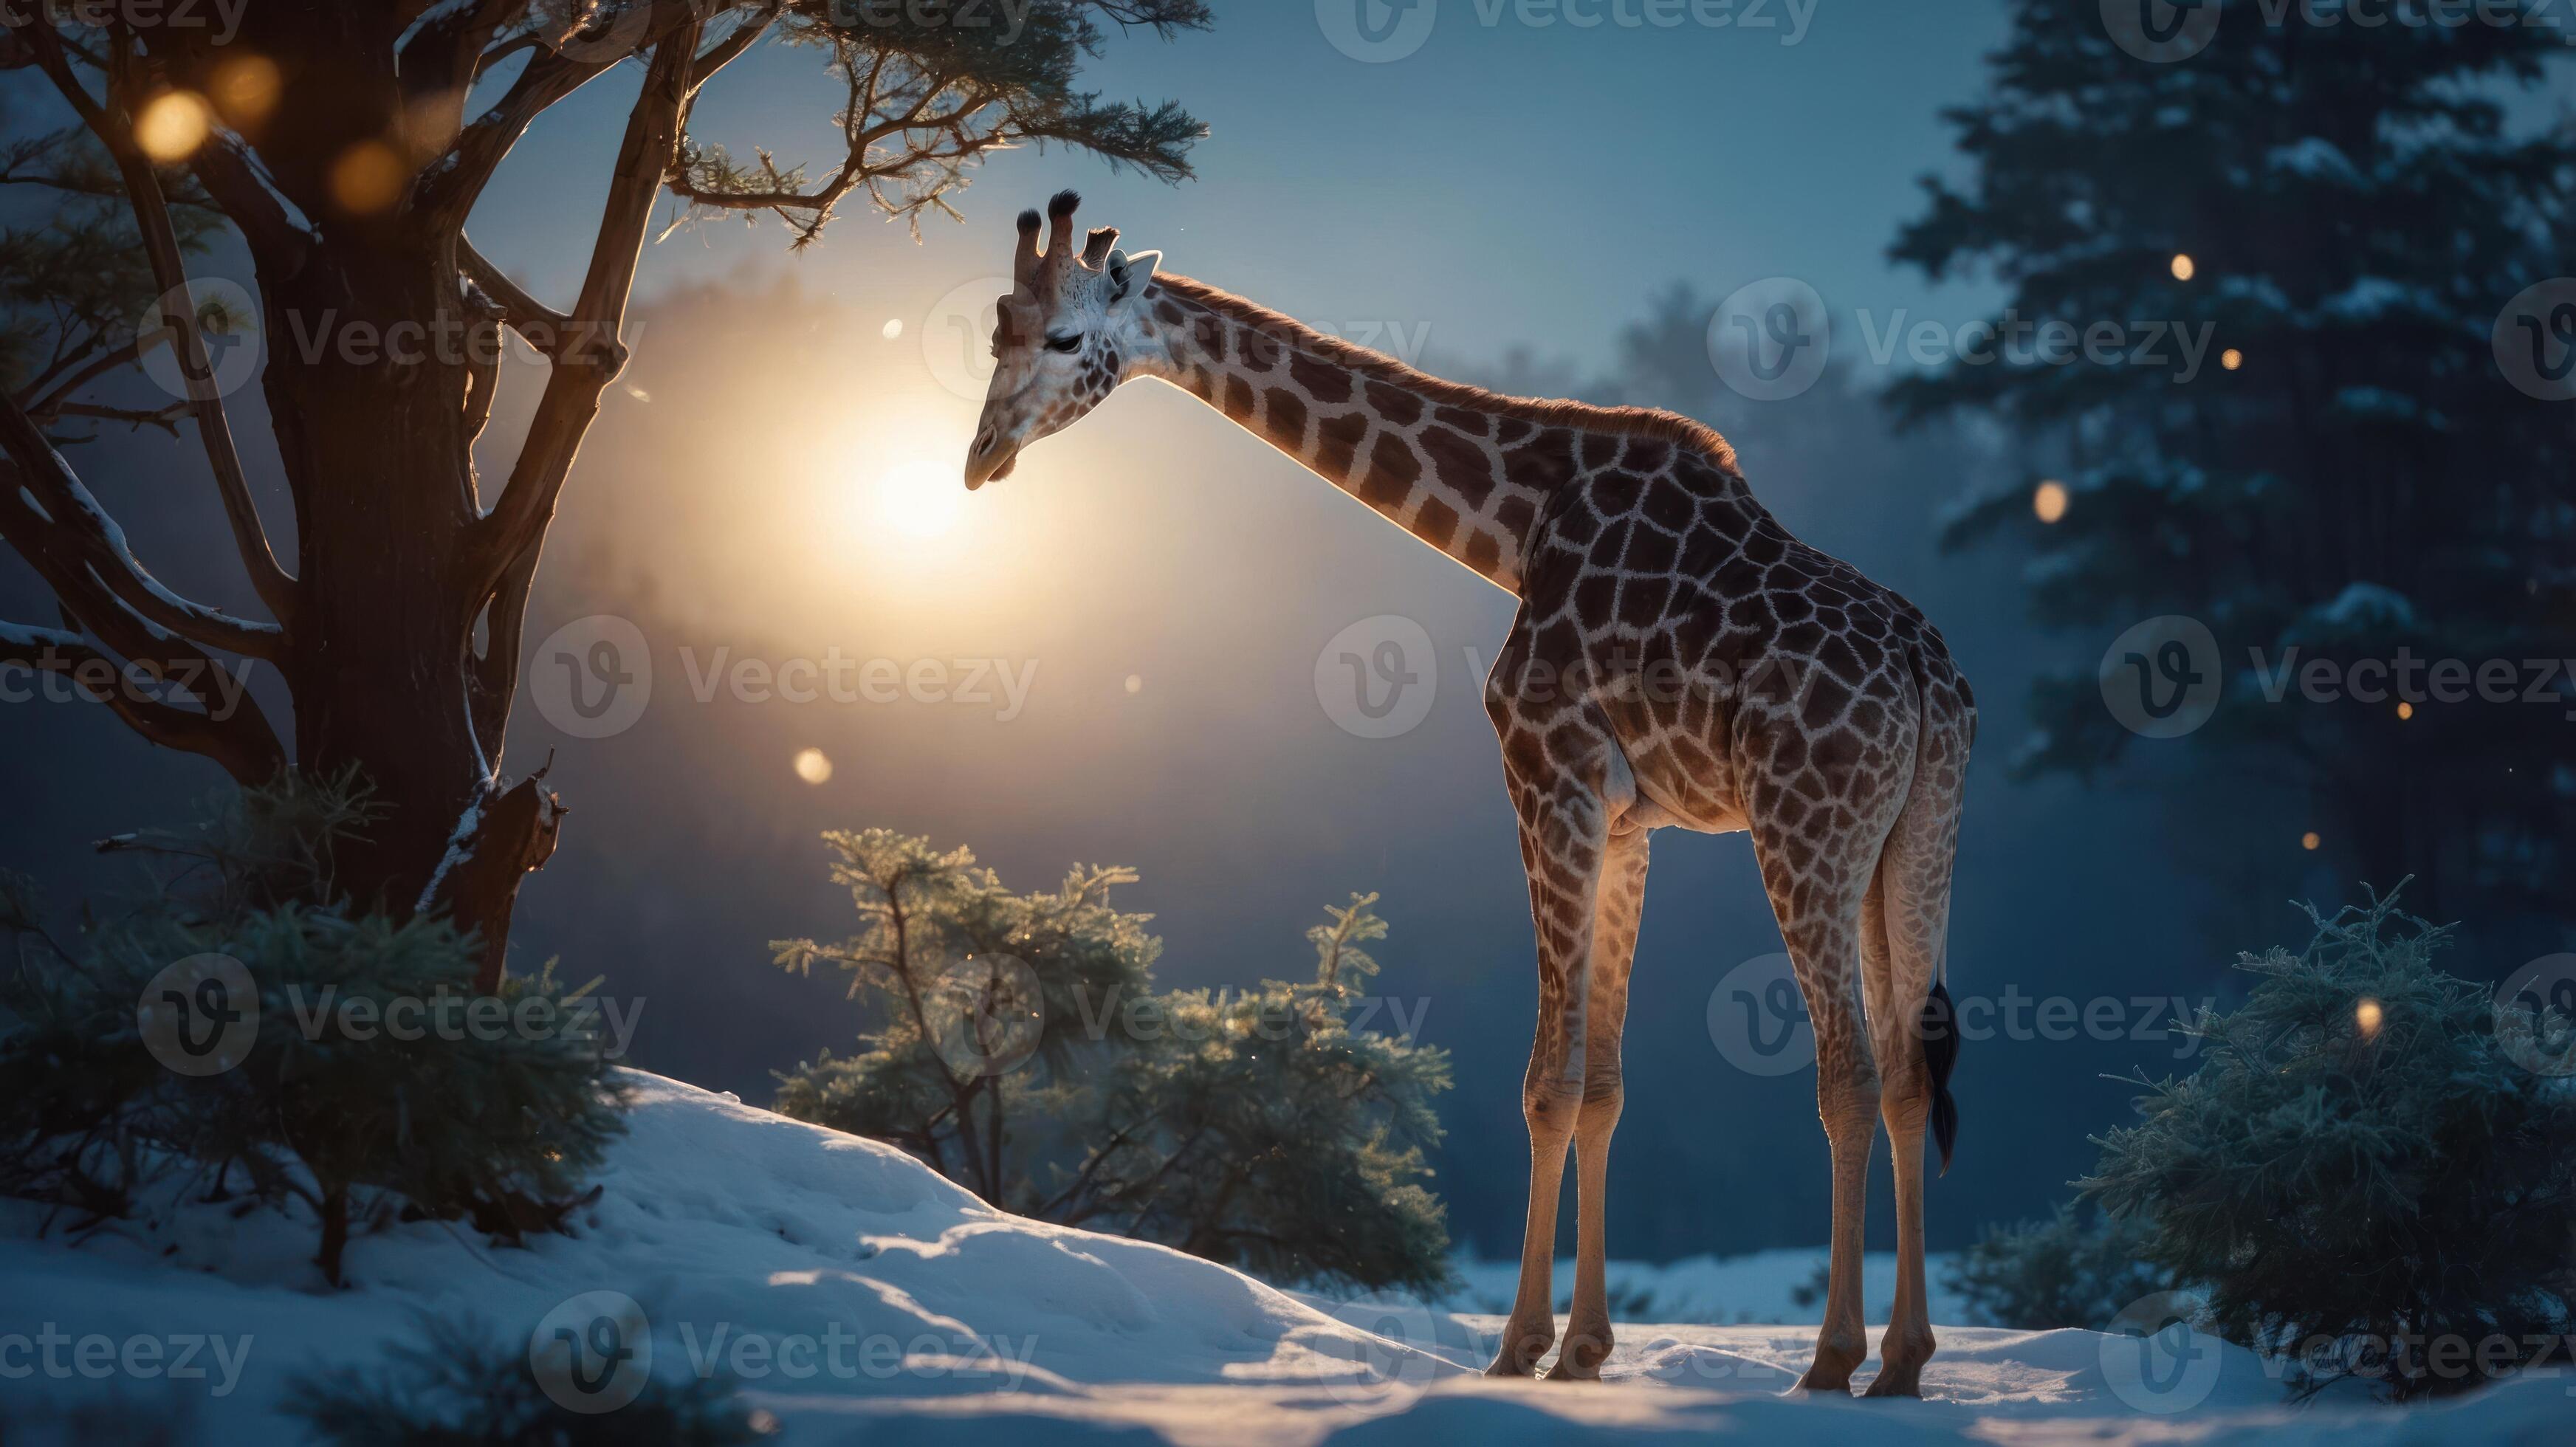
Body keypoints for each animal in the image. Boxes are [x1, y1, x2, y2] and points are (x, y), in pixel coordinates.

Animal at [963, 192, 1973, 1394]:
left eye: (1067, 337)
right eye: (994, 332)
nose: (979, 457)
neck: (1514, 525)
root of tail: (1925, 680)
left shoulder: (1545, 774)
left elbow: (1545, 1083)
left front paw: (1519, 1346)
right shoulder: (1629, 820)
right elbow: (1602, 1083)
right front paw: (1585, 1348)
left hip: (1803, 828)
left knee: (1846, 1074)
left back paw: (1830, 1359)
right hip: (1913, 838)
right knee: (1909, 1071)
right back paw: (1905, 1359)